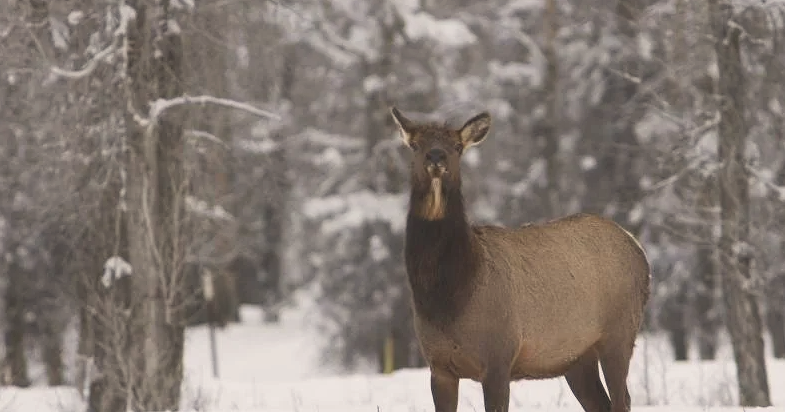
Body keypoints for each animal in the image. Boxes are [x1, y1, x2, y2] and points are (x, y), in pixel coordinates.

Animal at [390, 107, 650, 412]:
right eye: (415, 144)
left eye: (457, 146)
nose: (436, 156)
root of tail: (639, 250)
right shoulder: (438, 365)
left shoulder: (499, 356)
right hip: (577, 357)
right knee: (601, 402)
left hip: (619, 332)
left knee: (623, 399)